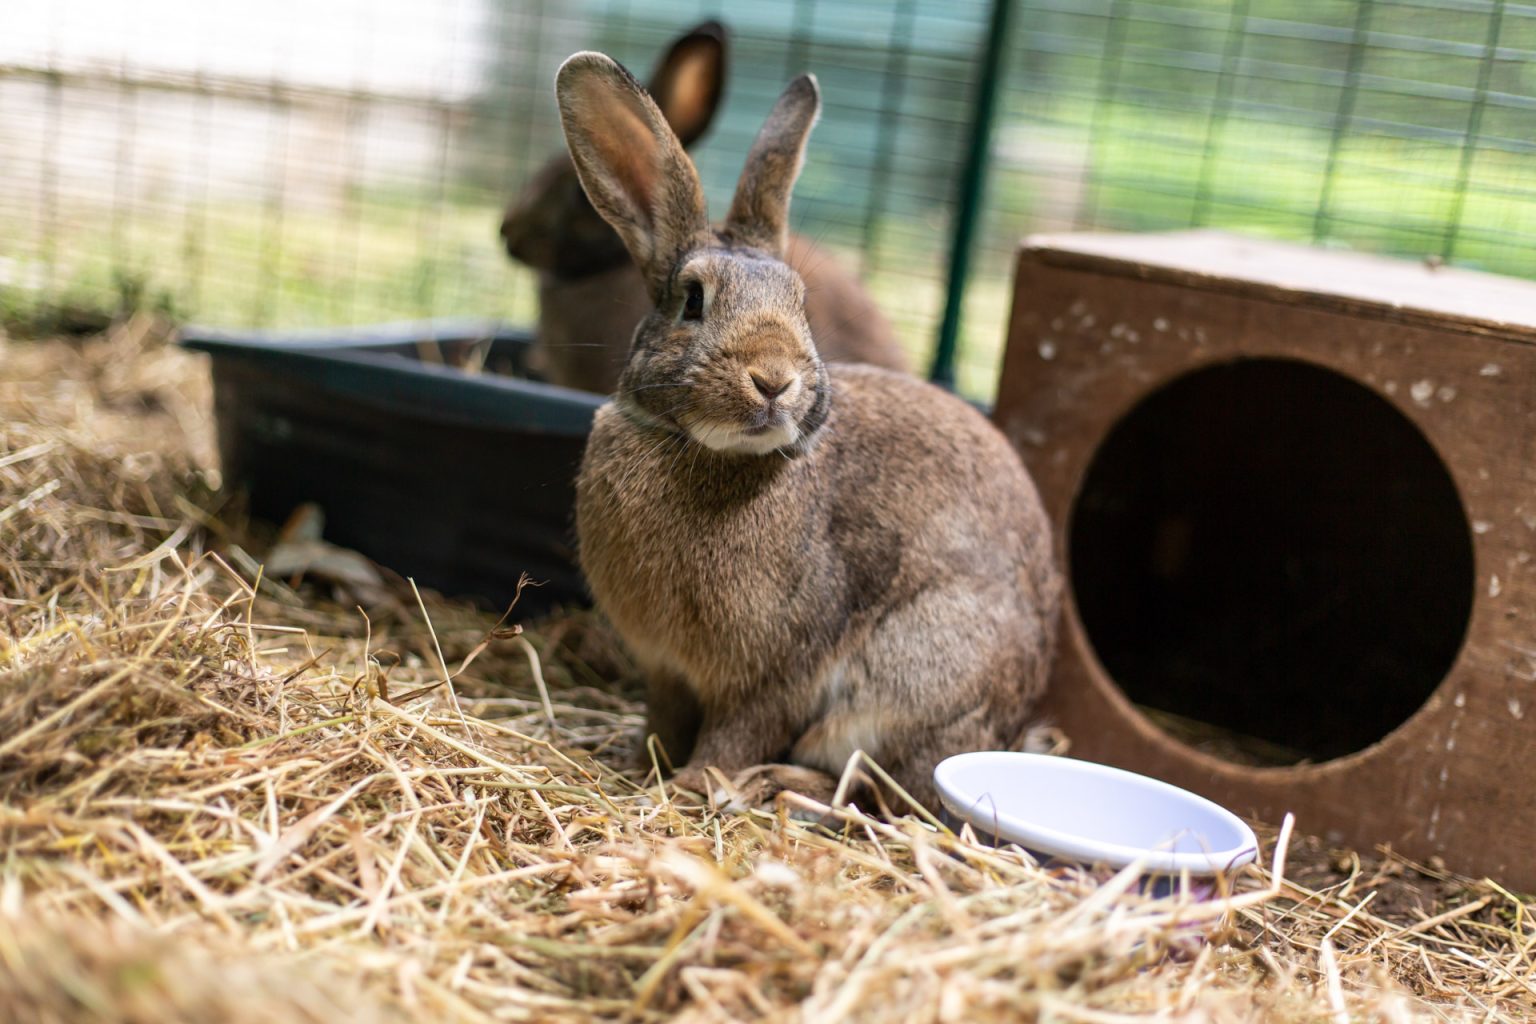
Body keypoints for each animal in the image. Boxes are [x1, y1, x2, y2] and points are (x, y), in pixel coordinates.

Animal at [557, 51, 1061, 813]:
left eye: (800, 303)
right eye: (692, 300)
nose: (774, 378)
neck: (705, 451)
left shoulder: (779, 674)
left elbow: (739, 732)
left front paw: (696, 785)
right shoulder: (665, 668)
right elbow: (664, 719)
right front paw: (641, 765)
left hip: (912, 683)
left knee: (880, 795)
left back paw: (778, 784)